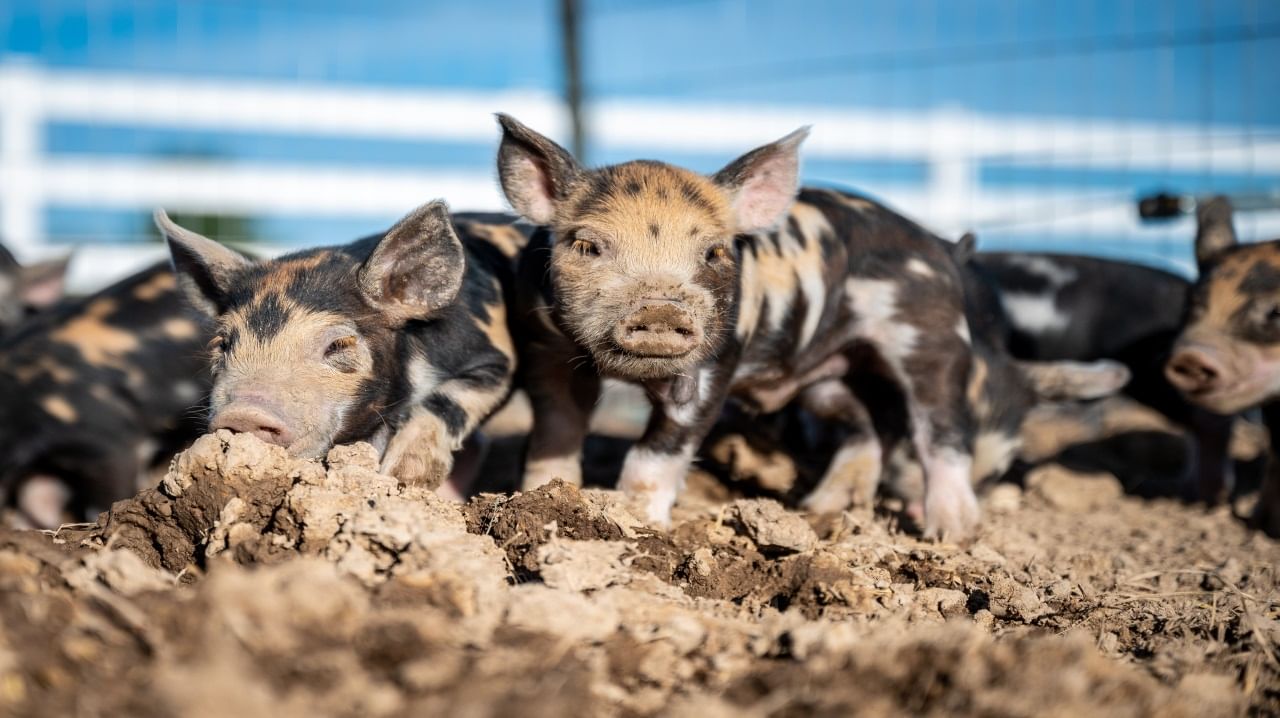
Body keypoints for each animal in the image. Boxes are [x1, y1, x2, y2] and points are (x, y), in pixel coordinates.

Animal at [156, 202, 523, 493]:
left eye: (337, 345)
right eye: (223, 343)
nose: (243, 413)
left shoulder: (494, 359)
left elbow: (448, 401)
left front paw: (405, 477)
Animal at [498, 113, 1033, 538]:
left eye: (715, 252)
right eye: (586, 245)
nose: (661, 310)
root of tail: (939, 246)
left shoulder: (714, 364)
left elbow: (656, 456)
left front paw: (640, 524)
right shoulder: (547, 354)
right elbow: (556, 434)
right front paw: (543, 496)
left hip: (930, 339)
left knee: (942, 430)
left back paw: (949, 533)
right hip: (827, 376)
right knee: (867, 424)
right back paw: (820, 509)